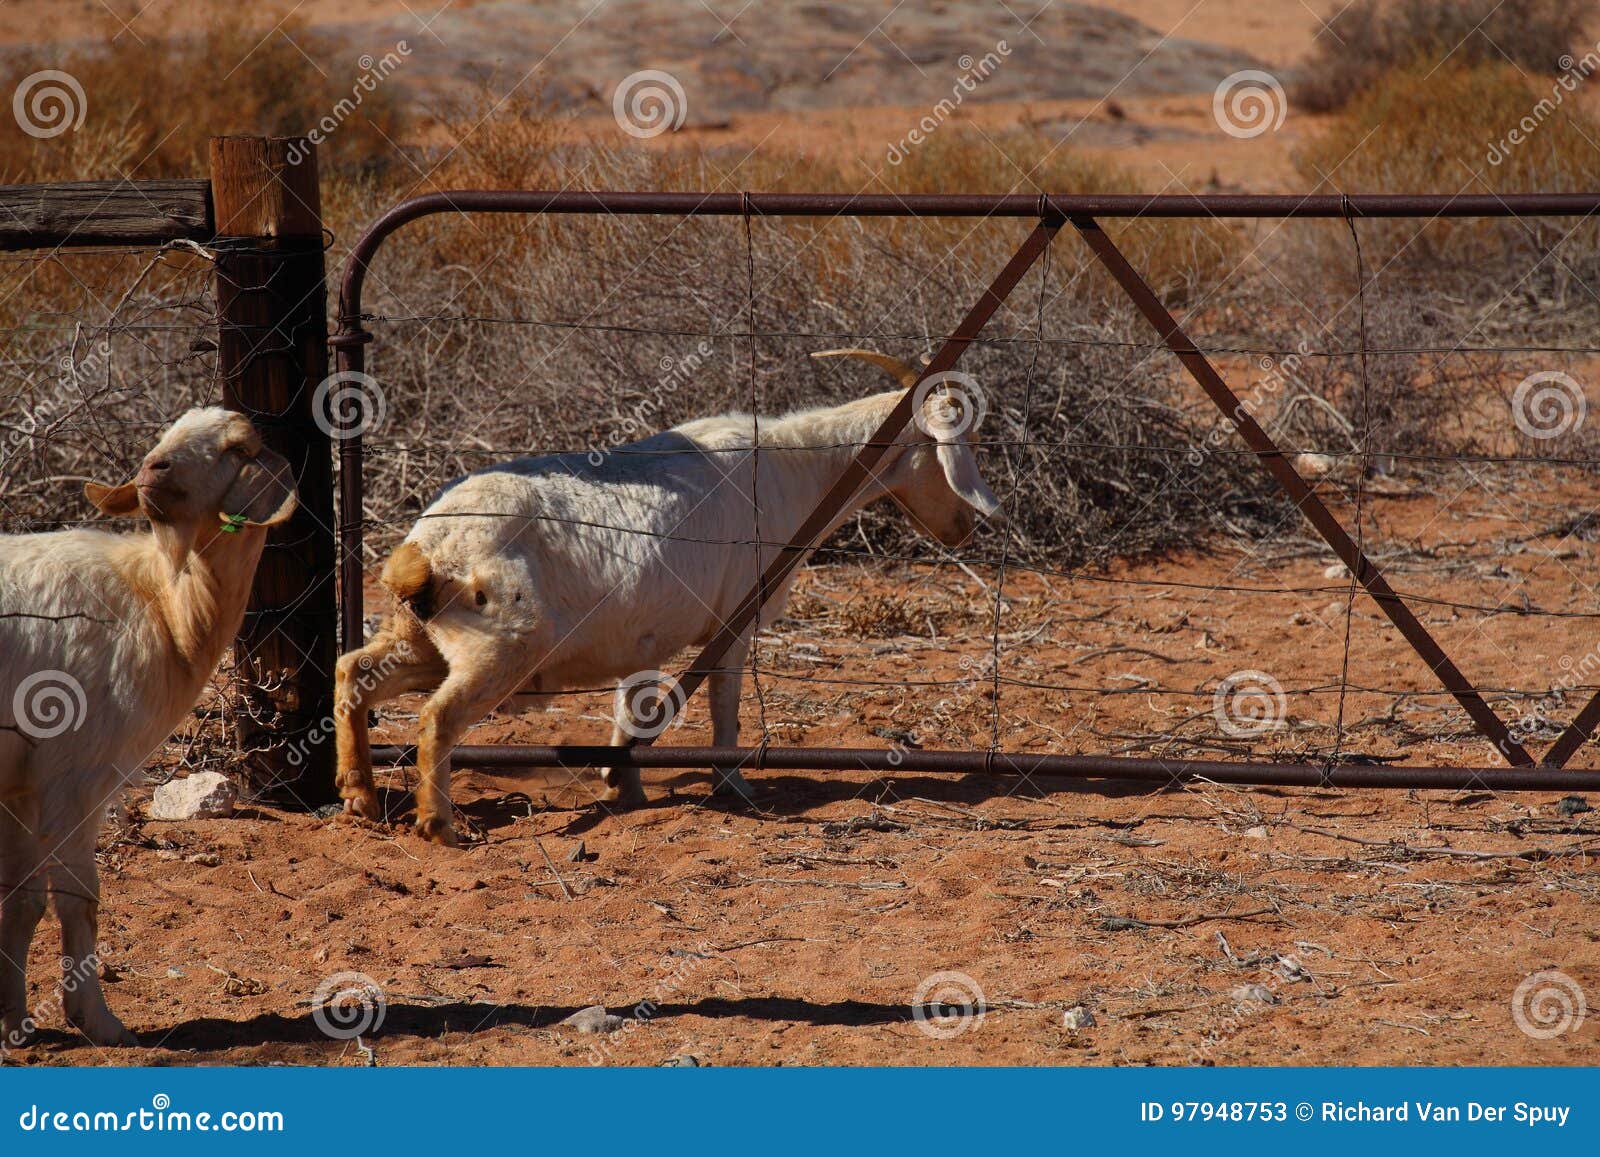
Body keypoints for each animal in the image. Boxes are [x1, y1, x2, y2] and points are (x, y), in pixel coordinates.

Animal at [0, 408, 296, 1047]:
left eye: (237, 448)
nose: (151, 469)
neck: (163, 601)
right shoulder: (76, 772)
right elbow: (77, 899)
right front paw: (97, 1020)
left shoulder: (23, 783)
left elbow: (20, 901)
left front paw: (14, 1020)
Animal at [335, 350, 1002, 845]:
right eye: (957, 446)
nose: (966, 528)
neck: (796, 471)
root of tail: (425, 549)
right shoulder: (736, 621)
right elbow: (726, 707)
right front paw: (734, 784)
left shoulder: (642, 633)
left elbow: (633, 705)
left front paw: (623, 786)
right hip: (501, 645)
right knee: (437, 718)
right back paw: (439, 826)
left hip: (418, 638)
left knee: (354, 673)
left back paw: (359, 795)